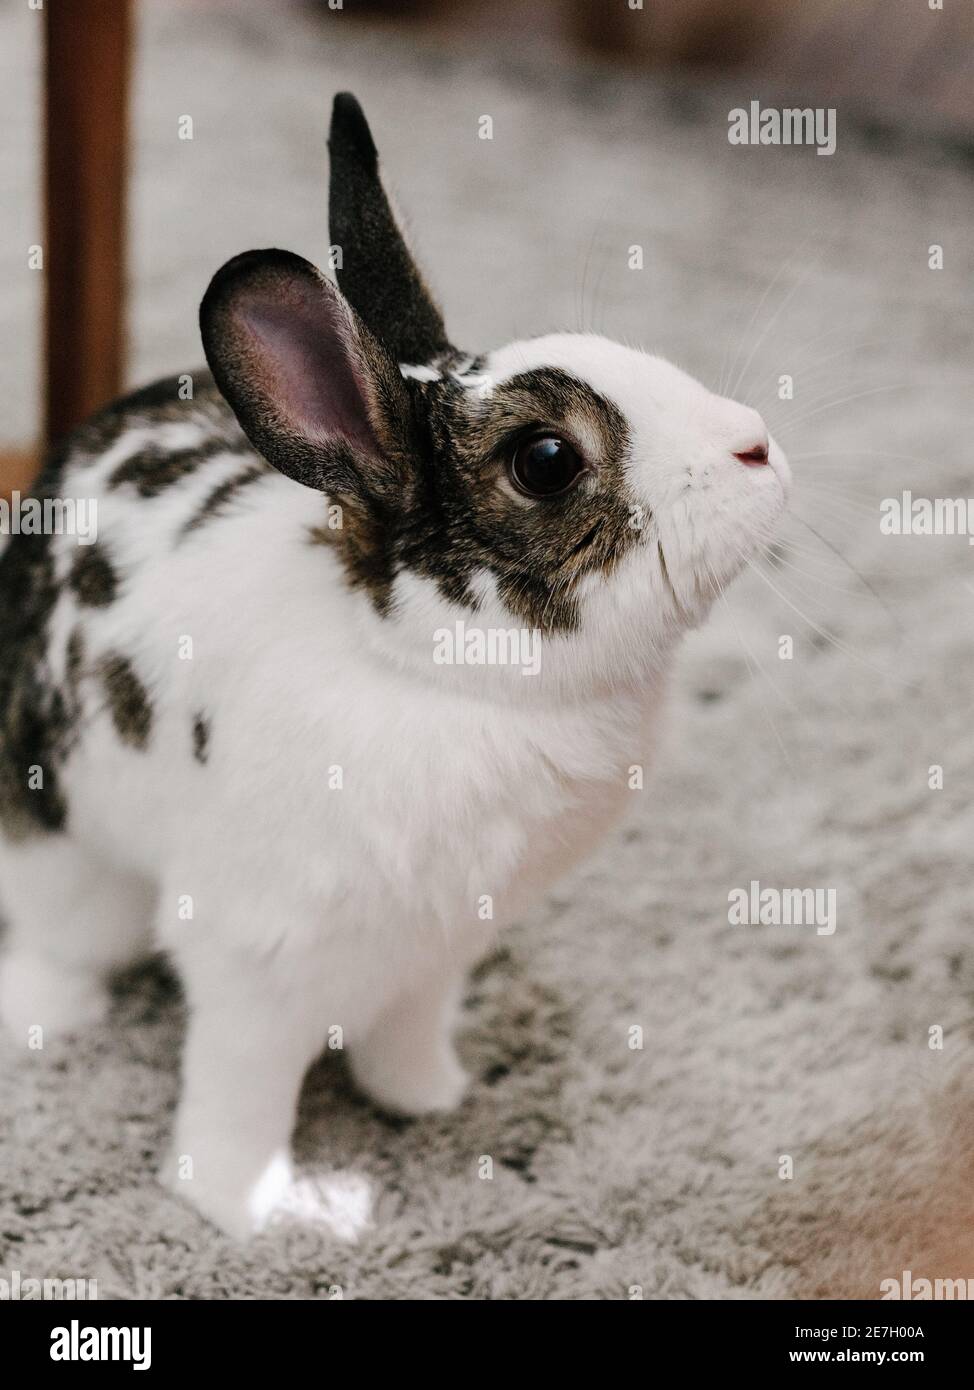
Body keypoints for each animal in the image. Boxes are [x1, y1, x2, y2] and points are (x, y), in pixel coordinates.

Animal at [0, 93, 789, 1238]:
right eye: (545, 461)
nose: (756, 444)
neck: (442, 680)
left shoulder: (440, 950)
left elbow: (409, 1027)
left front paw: (427, 1099)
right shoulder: (254, 958)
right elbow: (242, 1088)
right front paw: (242, 1211)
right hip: (63, 845)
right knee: (54, 934)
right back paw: (47, 1021)